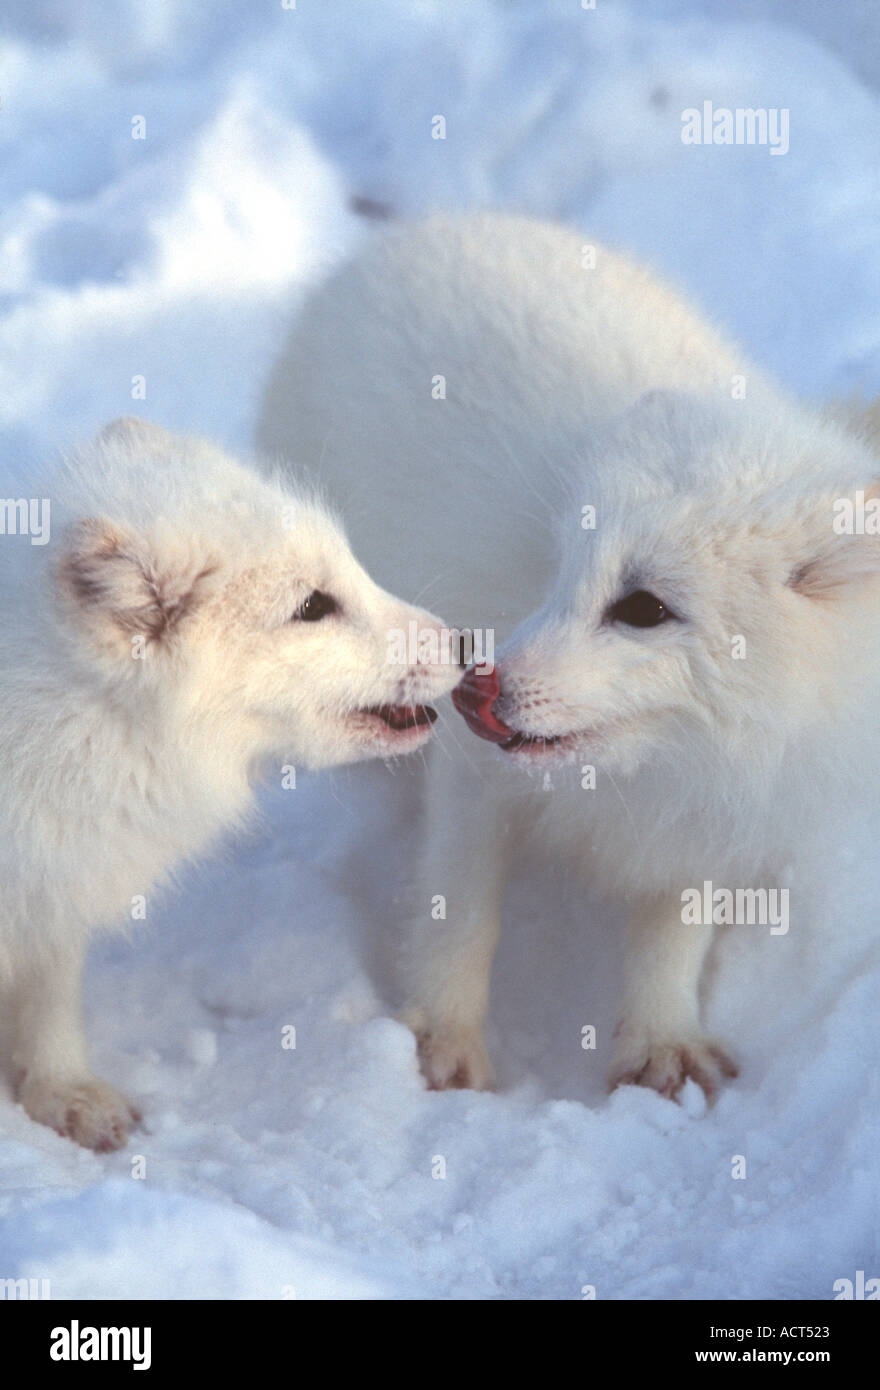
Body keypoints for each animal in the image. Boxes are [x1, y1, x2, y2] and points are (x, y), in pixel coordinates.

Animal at [0, 417, 458, 1150]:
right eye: (312, 606)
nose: (469, 644)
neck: (59, 716)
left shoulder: (51, 895)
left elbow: (49, 1006)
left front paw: (65, 1092)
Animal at [258, 212, 880, 1104]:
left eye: (644, 609)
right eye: (560, 574)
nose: (476, 690)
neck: (655, 767)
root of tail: (427, 224)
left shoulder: (721, 821)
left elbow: (672, 934)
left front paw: (661, 1043)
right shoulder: (475, 777)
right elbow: (462, 908)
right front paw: (439, 1040)